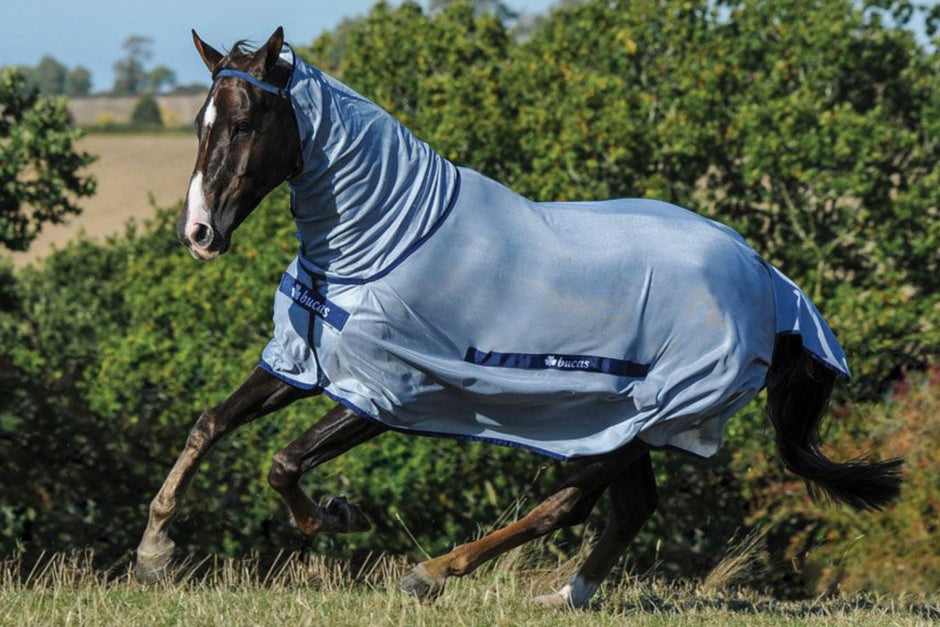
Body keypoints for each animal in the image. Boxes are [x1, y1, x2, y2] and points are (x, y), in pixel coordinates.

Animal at [134, 27, 903, 608]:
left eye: (242, 123)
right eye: (200, 123)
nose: (198, 233)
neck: (385, 240)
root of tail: (768, 281)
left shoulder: (387, 393)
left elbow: (283, 461)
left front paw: (336, 515)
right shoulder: (303, 364)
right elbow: (211, 423)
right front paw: (155, 550)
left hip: (645, 419)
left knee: (566, 506)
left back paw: (434, 572)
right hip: (621, 419)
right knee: (627, 510)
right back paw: (561, 597)